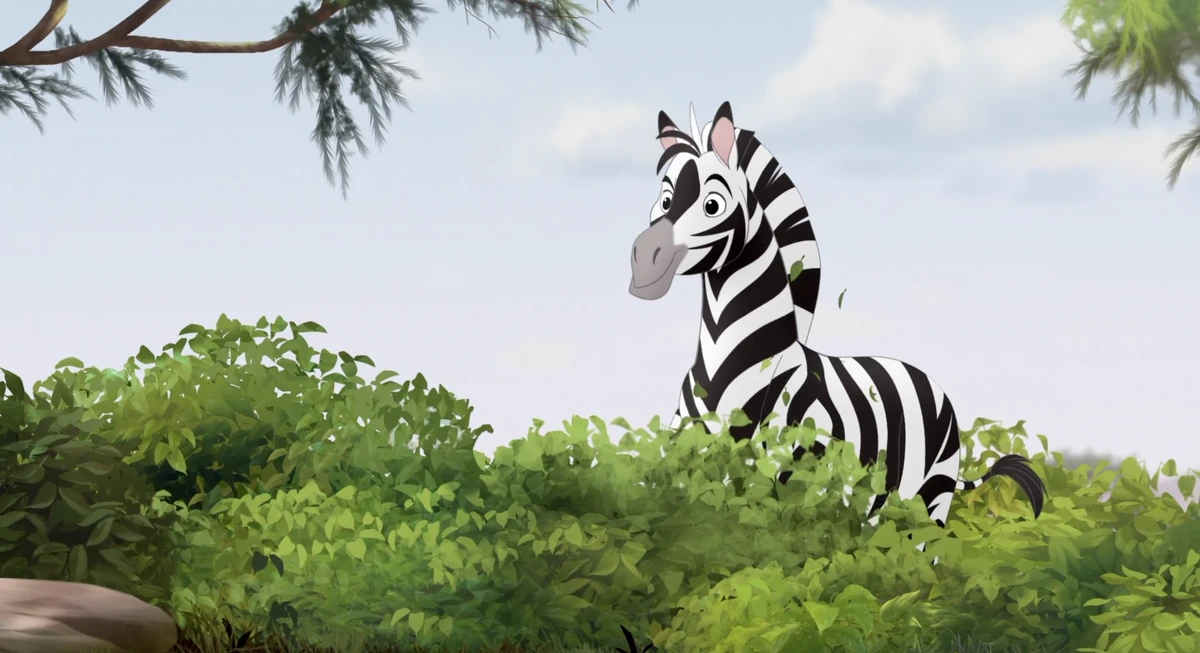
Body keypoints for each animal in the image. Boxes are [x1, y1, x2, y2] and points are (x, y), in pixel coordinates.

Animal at [627, 101, 1046, 541]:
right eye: (665, 199)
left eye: (712, 204)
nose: (642, 262)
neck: (731, 369)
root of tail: (934, 385)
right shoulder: (693, 476)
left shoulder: (786, 486)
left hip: (930, 497)